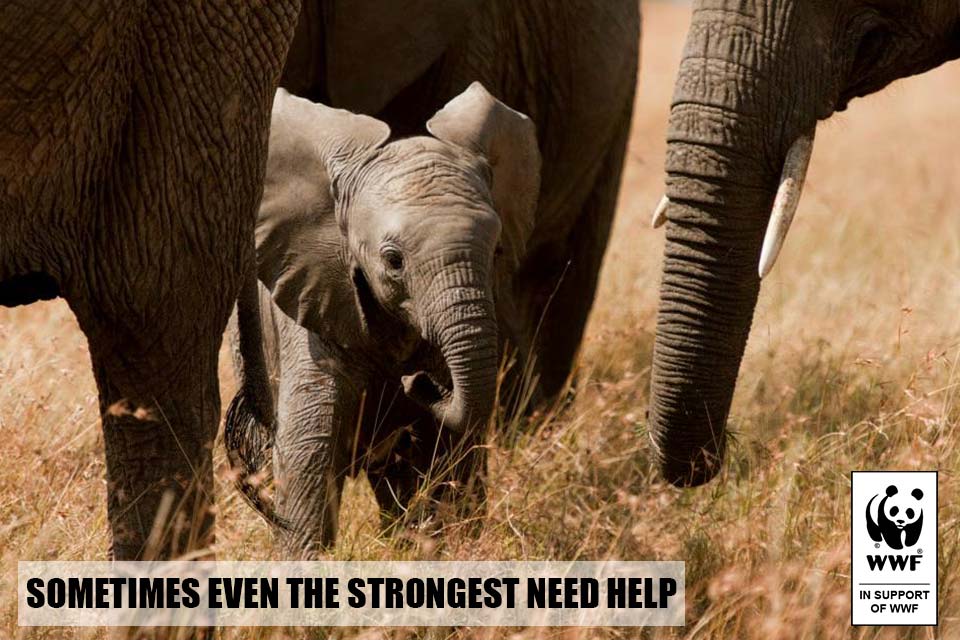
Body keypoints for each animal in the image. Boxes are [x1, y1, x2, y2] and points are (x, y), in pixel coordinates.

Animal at [226, 84, 540, 554]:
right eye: (393, 261)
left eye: (497, 250)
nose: (421, 383)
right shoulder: (312, 302)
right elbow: (307, 454)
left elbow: (451, 455)